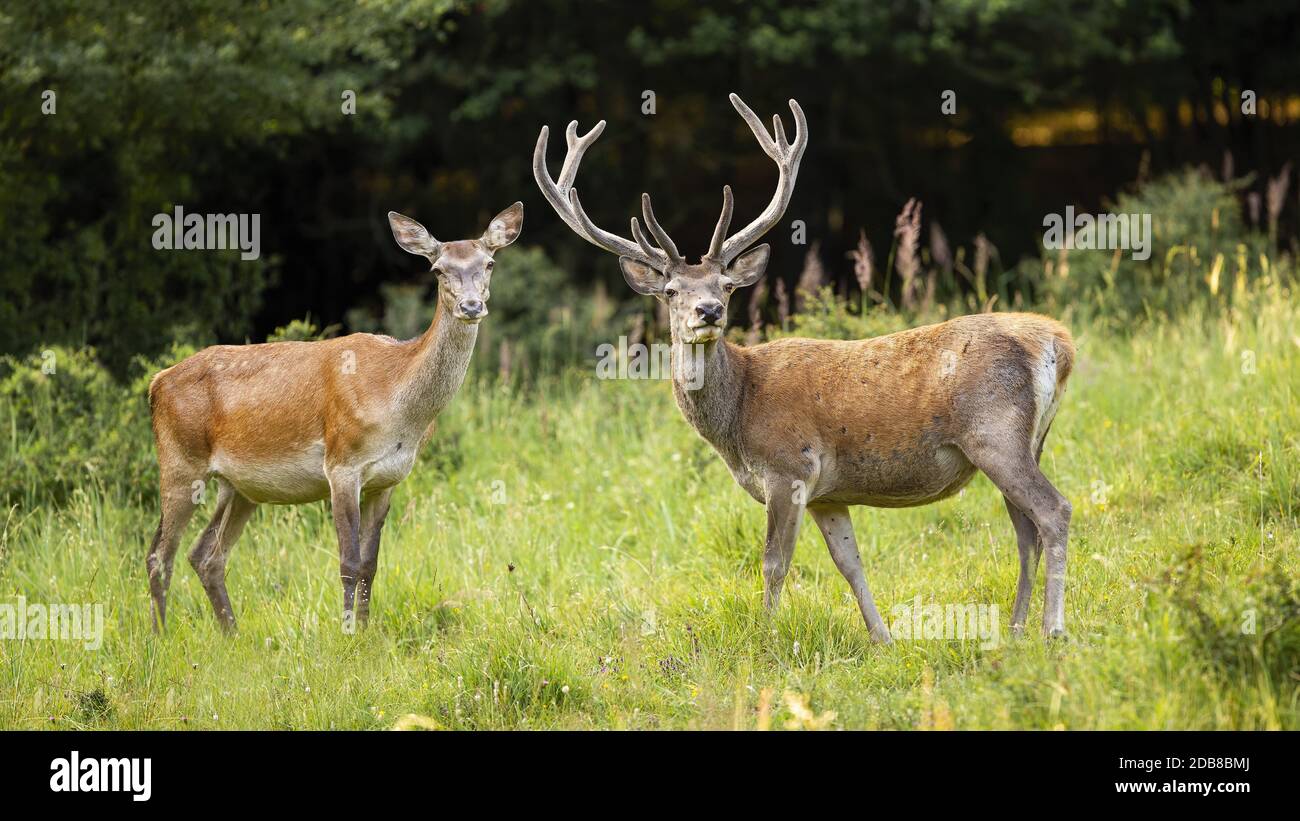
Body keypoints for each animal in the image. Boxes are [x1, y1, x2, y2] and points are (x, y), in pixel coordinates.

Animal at [144, 203, 523, 633]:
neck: (399, 408)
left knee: (205, 555)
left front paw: (367, 631)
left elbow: (371, 564)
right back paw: (161, 638)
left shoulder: (388, 478)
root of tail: (156, 383)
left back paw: (231, 636)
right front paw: (347, 633)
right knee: (159, 557)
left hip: (239, 486)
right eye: (439, 269)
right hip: (179, 462)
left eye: (489, 263)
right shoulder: (342, 463)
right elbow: (349, 562)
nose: (471, 306)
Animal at [535, 95, 1074, 641]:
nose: (708, 311)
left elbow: (774, 563)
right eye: (670, 291)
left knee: (1054, 510)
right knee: (1025, 529)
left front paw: (767, 635)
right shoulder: (827, 496)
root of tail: (1057, 341)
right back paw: (1016, 629)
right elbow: (851, 564)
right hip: (1028, 440)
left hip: (994, 433)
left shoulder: (788, 468)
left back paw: (1052, 628)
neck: (737, 419)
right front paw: (883, 638)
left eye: (726, 285)